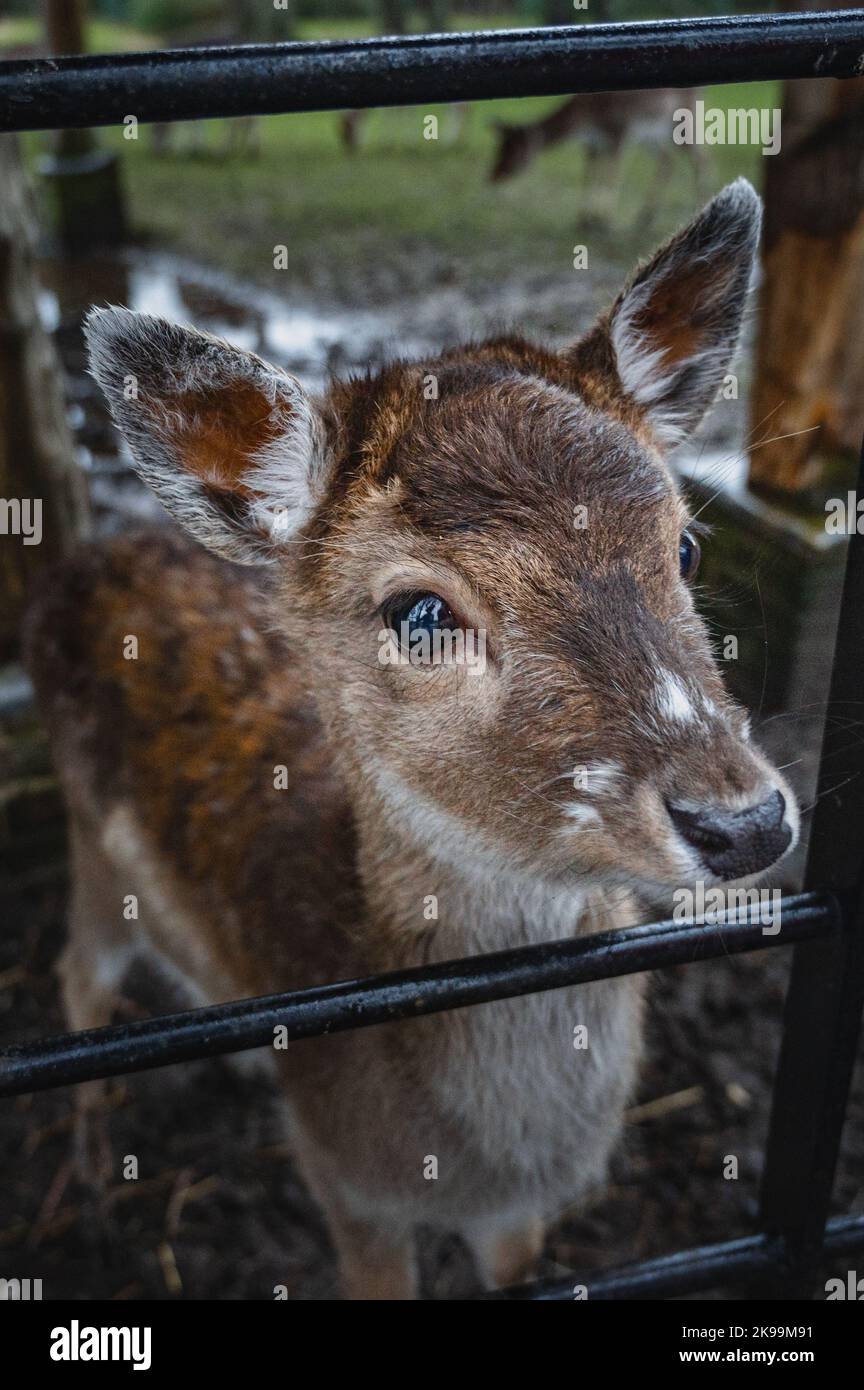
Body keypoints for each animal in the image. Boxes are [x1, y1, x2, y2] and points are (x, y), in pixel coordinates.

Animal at [25, 179, 797, 1300]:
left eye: (687, 545)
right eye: (421, 612)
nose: (745, 821)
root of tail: (78, 558)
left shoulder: (518, 1218)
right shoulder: (351, 1190)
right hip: (88, 840)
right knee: (75, 977)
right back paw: (87, 1180)